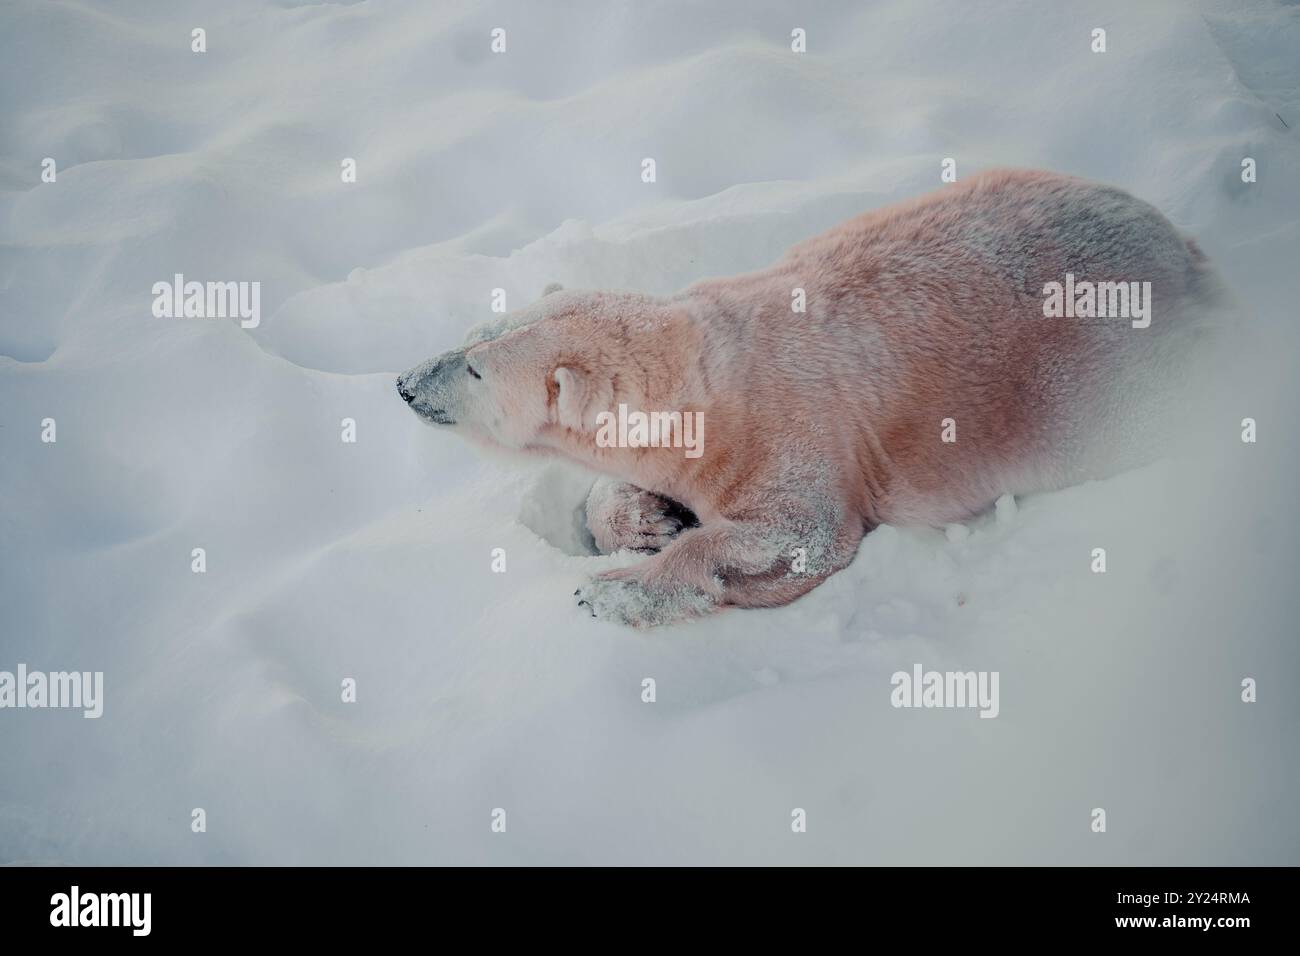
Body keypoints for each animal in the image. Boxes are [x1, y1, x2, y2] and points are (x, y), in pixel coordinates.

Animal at [397, 169, 1228, 627]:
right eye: (469, 334)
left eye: (474, 369)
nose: (405, 382)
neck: (708, 383)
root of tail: (1181, 246)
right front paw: (646, 518)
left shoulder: (793, 436)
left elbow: (802, 534)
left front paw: (613, 592)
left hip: (1100, 380)